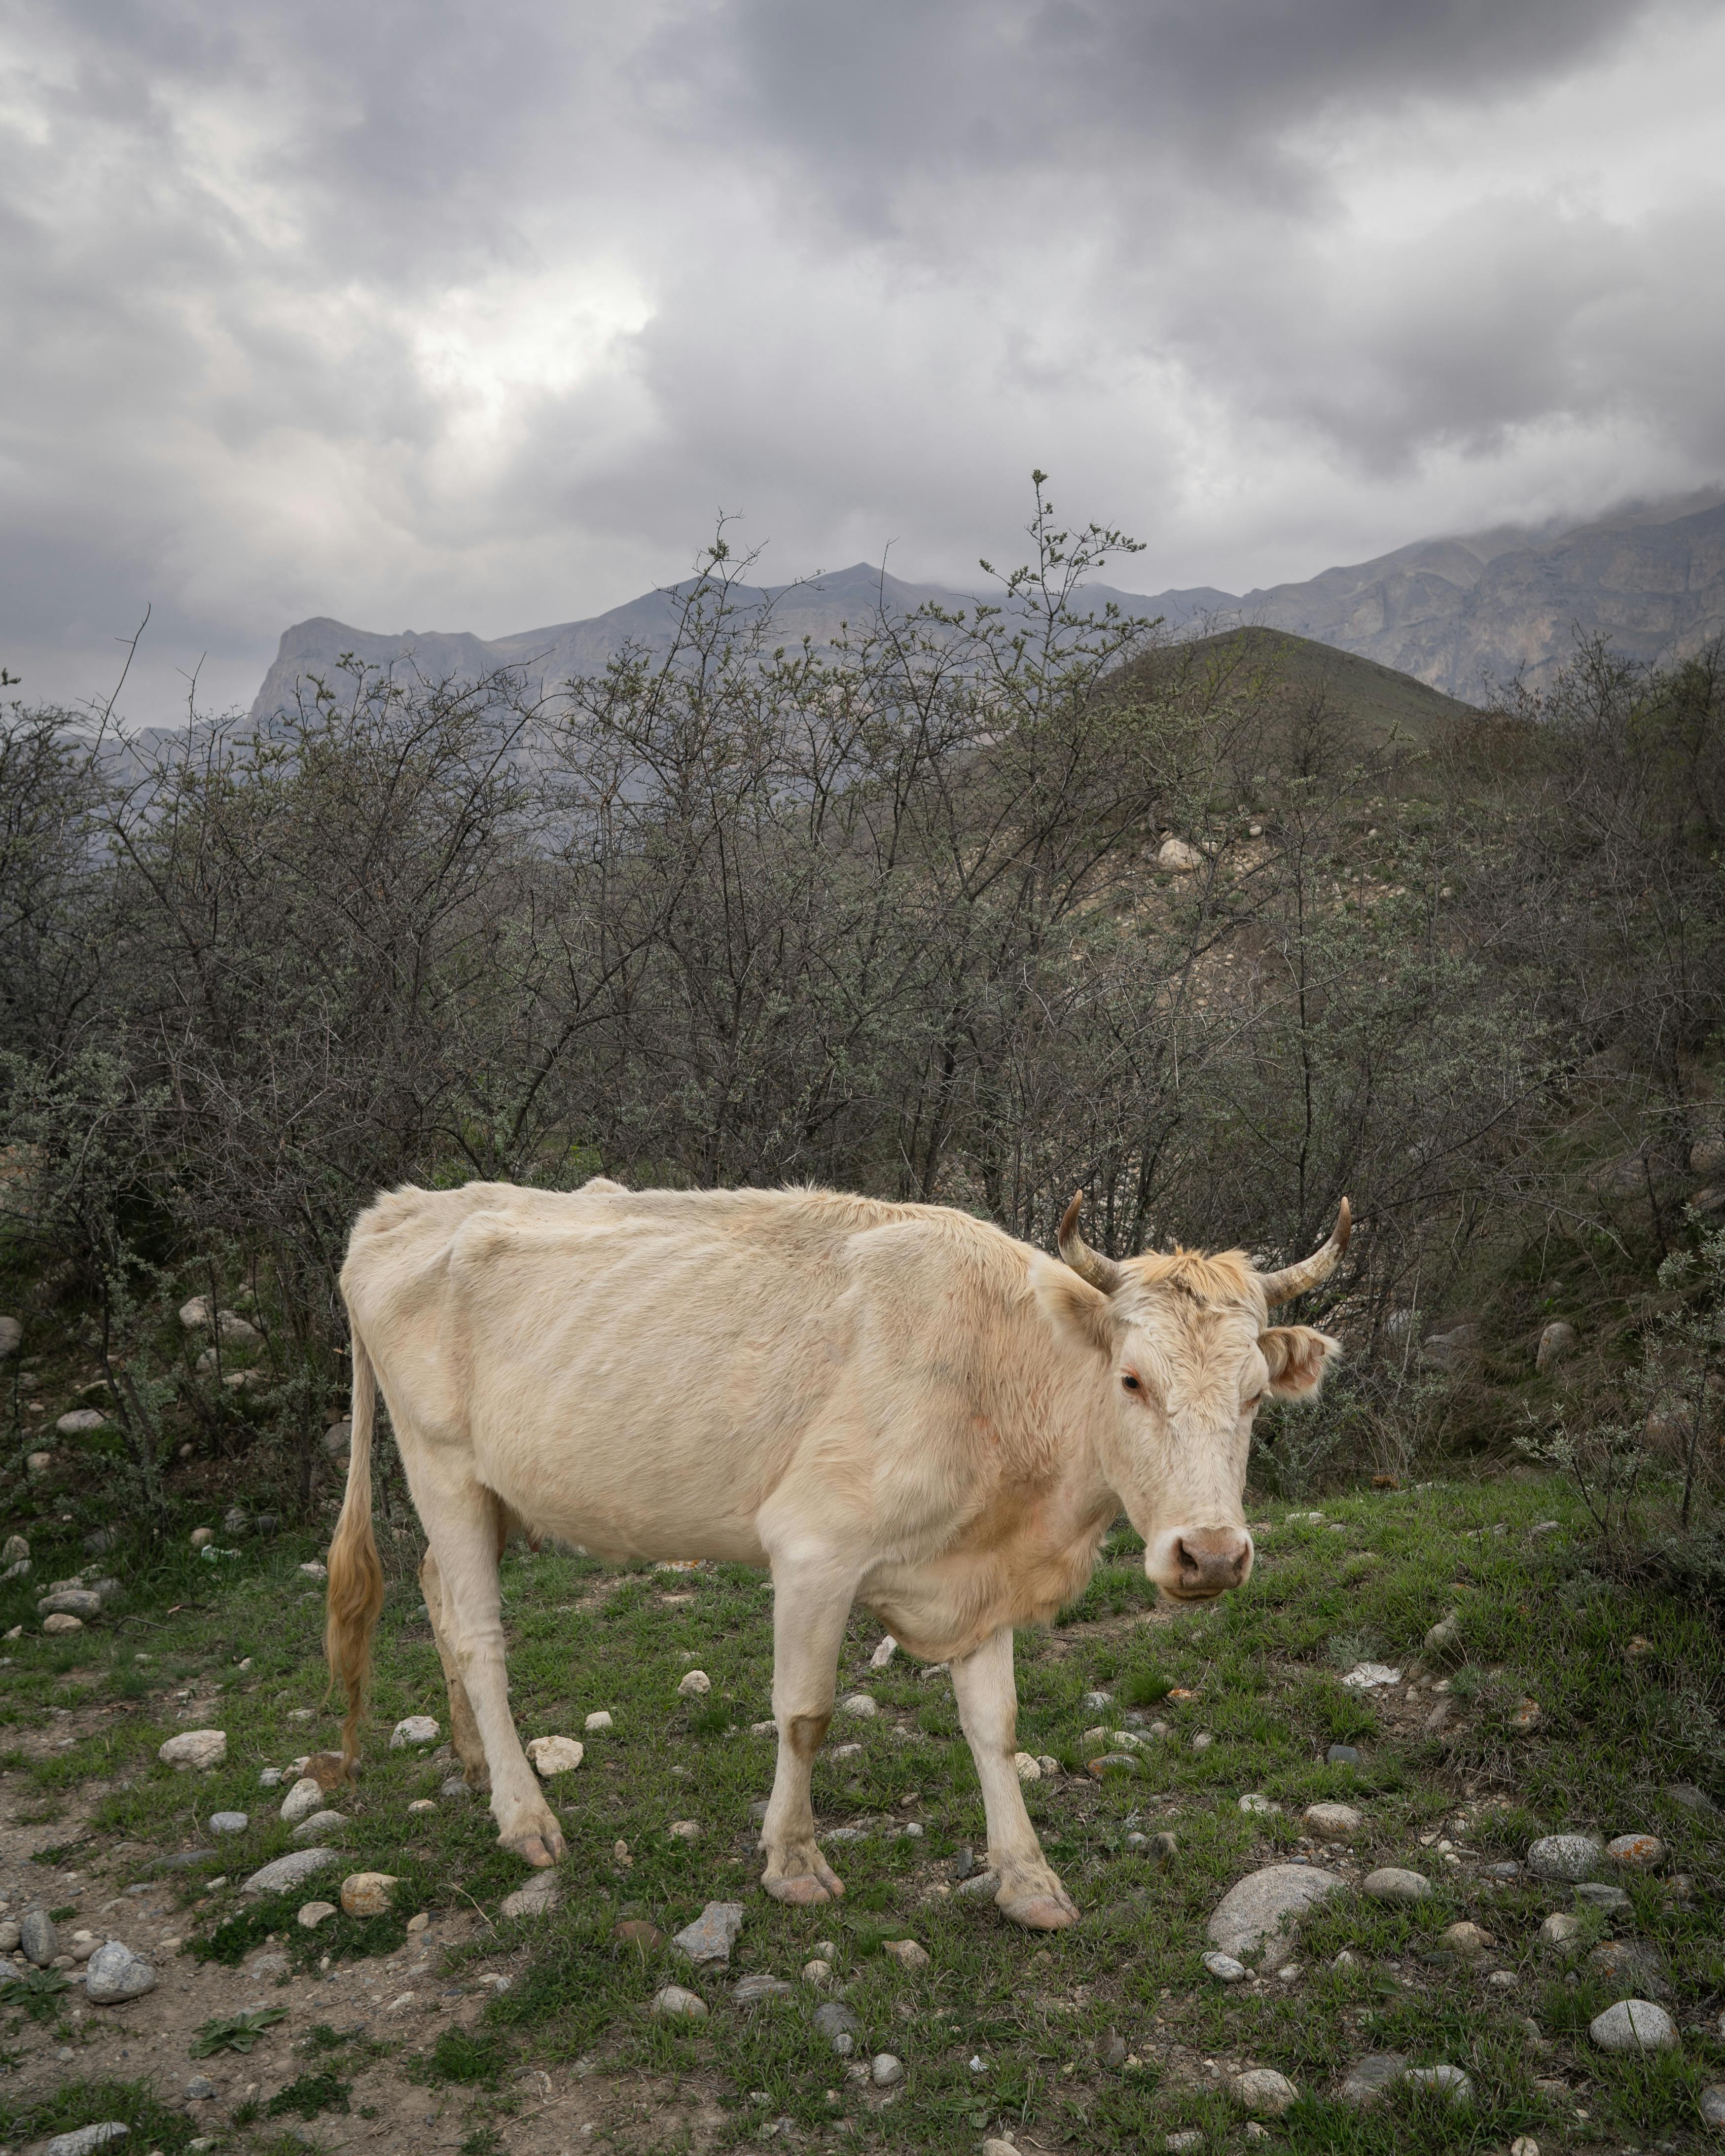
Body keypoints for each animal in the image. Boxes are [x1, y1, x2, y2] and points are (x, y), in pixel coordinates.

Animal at [326, 1178, 1347, 1929]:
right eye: (1131, 1380)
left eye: (1255, 1394)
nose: (1208, 1555)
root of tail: (401, 1204)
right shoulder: (814, 1548)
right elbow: (805, 1713)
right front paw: (792, 1860)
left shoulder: (976, 1572)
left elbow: (996, 1726)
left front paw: (1026, 1879)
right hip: (442, 1465)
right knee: (478, 1635)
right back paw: (525, 1815)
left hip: (493, 1489)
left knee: (438, 1595)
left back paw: (472, 1765)